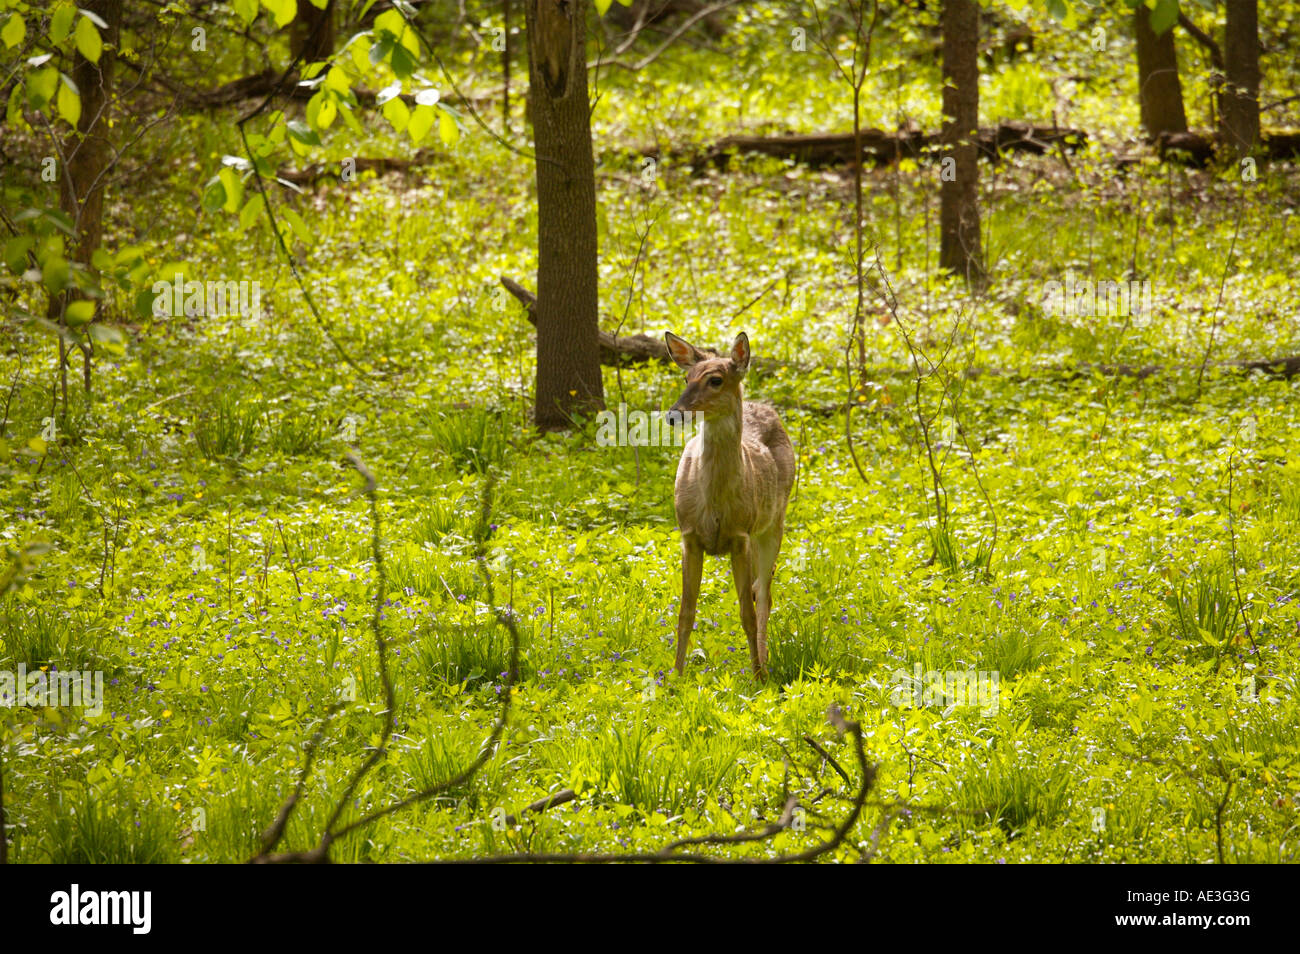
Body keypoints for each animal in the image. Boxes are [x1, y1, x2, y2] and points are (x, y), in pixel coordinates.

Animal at [663, 331, 795, 681]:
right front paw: (675, 677)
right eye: (686, 377)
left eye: (716, 380)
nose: (674, 414)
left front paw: (758, 678)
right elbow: (685, 611)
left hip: (773, 524)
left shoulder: (741, 535)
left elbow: (747, 613)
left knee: (763, 594)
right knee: (758, 589)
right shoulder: (689, 536)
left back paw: (765, 666)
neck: (714, 503)